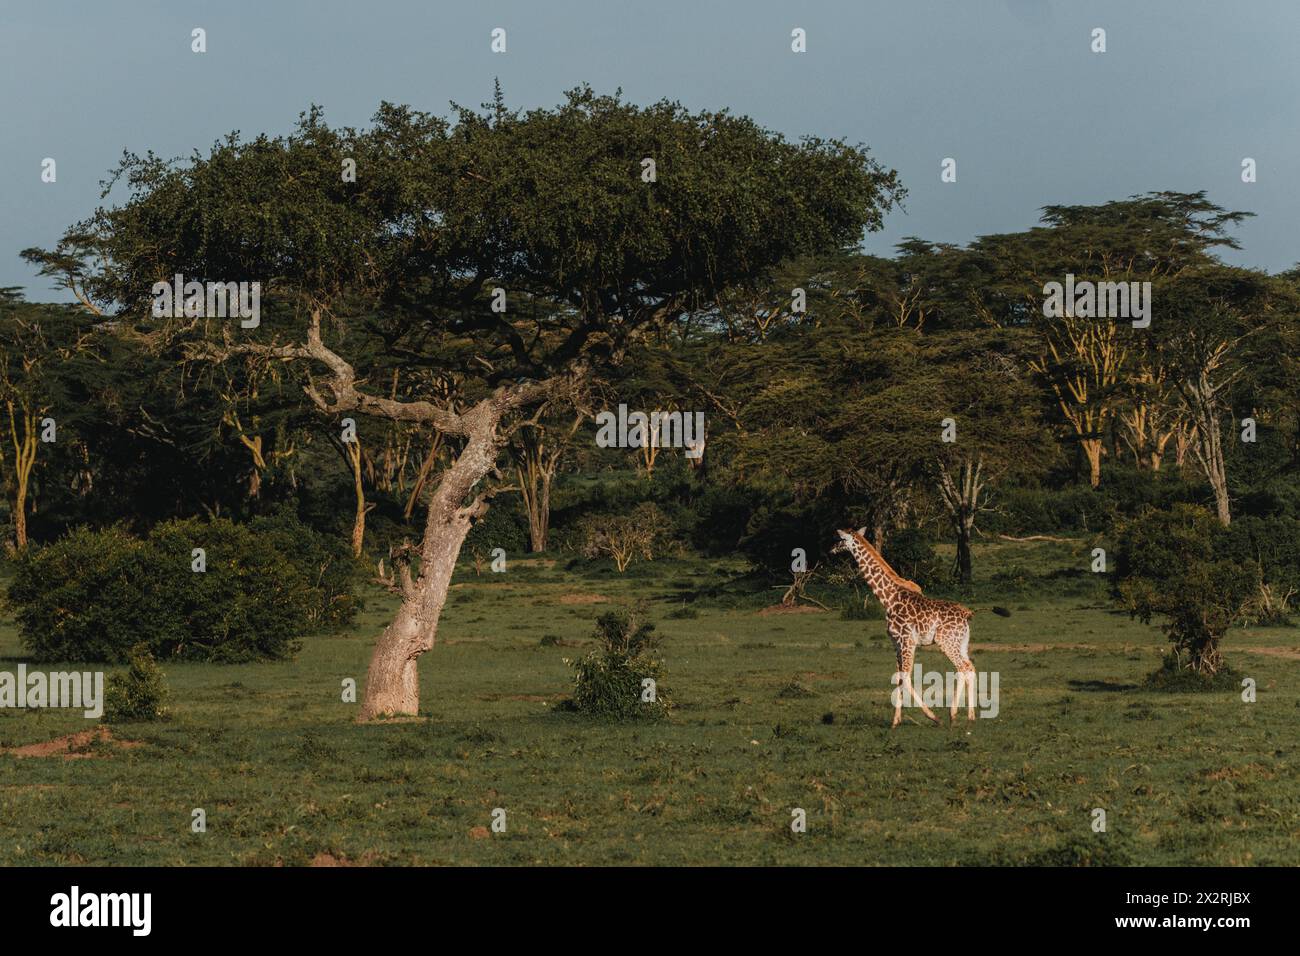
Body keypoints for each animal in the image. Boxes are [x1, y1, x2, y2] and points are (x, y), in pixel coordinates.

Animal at [833, 528, 977, 727]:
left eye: (840, 540)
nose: (831, 549)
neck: (888, 598)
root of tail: (966, 614)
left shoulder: (907, 640)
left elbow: (907, 678)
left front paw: (933, 717)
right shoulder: (896, 643)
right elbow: (899, 677)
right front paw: (895, 722)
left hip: (946, 641)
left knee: (962, 668)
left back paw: (952, 715)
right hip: (961, 643)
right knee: (970, 668)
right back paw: (970, 716)